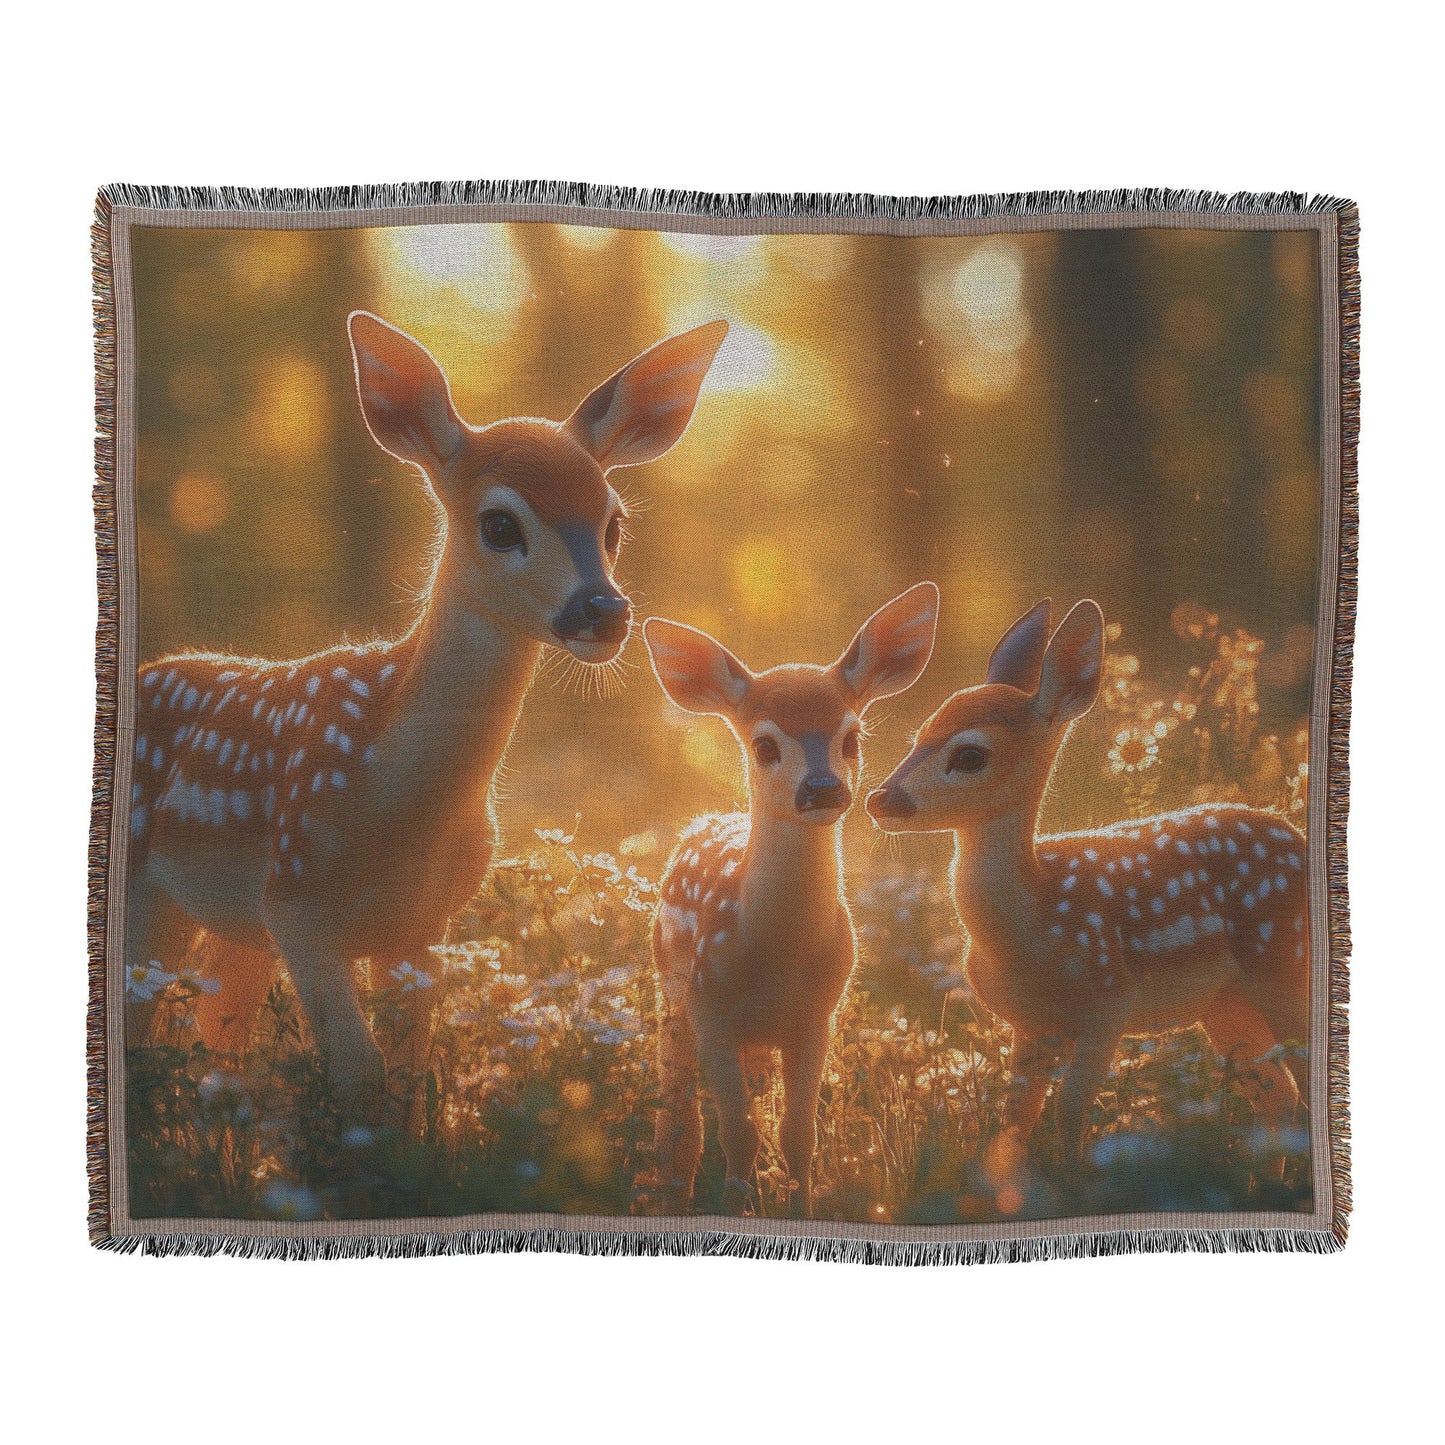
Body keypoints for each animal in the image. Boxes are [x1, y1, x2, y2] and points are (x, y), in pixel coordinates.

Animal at [125, 310, 729, 1126]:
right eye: (499, 523)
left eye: (613, 523)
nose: (604, 612)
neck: (396, 802)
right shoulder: (298, 900)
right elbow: (360, 1074)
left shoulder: (422, 924)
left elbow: (414, 1080)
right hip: (149, 886)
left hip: (234, 925)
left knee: (219, 1052)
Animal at [641, 582, 940, 1216]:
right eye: (764, 745)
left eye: (852, 737)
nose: (823, 789)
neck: (775, 953)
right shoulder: (709, 1006)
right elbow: (737, 1134)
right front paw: (735, 1211)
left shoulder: (815, 1015)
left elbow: (798, 1135)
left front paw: (799, 1211)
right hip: (669, 997)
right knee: (677, 1127)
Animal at [865, 599, 1310, 1194]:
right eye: (919, 734)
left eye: (970, 755)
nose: (880, 799)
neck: (1033, 920)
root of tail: (1299, 839)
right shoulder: (1030, 1025)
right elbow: (1014, 1121)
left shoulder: (1109, 1000)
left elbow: (1071, 1110)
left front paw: (1075, 1187)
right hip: (1226, 1003)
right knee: (1278, 1096)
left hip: (1282, 967)